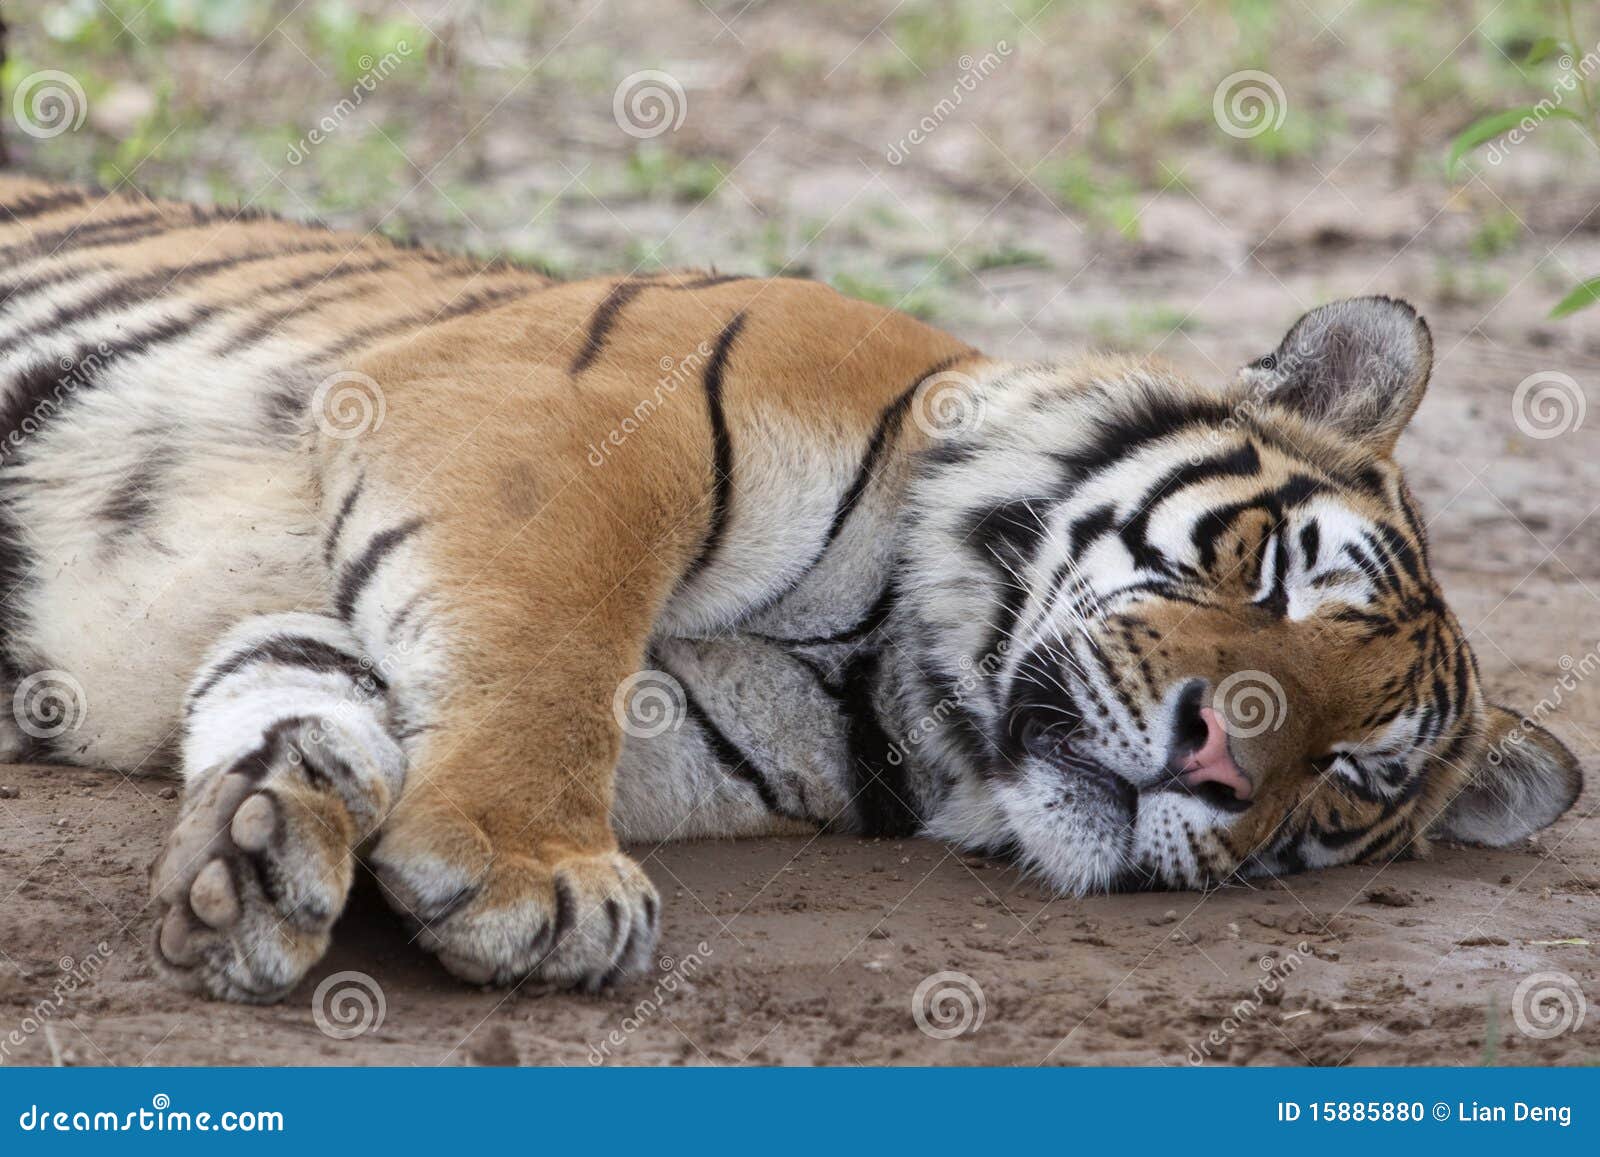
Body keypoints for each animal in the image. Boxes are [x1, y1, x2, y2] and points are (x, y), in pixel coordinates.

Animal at [0, 176, 1580, 1003]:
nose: (1216, 764)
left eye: (1353, 773)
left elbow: (306, 683)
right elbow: (547, 649)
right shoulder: (569, 425)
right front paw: (533, 873)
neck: (898, 666)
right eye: (1276, 573)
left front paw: (254, 851)